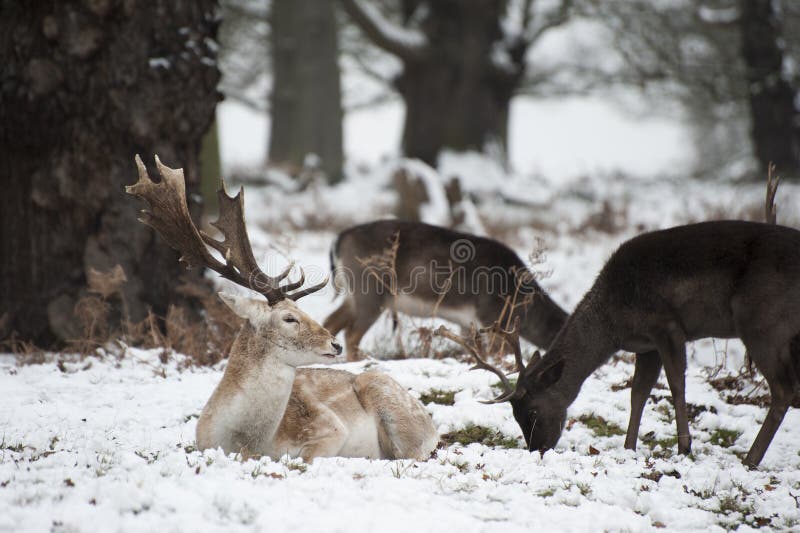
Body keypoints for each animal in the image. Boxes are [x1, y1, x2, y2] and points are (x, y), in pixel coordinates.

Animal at [126, 155, 438, 462]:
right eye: (289, 318)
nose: (335, 344)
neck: (244, 442)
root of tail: (432, 424)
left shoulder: (331, 428)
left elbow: (308, 456)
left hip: (389, 400)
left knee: (409, 454)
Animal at [324, 220, 568, 360]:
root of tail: (339, 239)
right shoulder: (494, 317)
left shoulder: (468, 324)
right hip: (371, 292)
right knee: (351, 334)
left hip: (353, 295)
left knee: (331, 321)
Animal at [454, 219, 800, 467]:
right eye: (515, 416)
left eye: (533, 411)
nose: (537, 448)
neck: (614, 325)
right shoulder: (646, 346)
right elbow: (638, 393)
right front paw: (629, 448)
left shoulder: (666, 326)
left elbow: (676, 386)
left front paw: (684, 448)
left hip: (761, 322)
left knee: (784, 389)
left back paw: (750, 459)